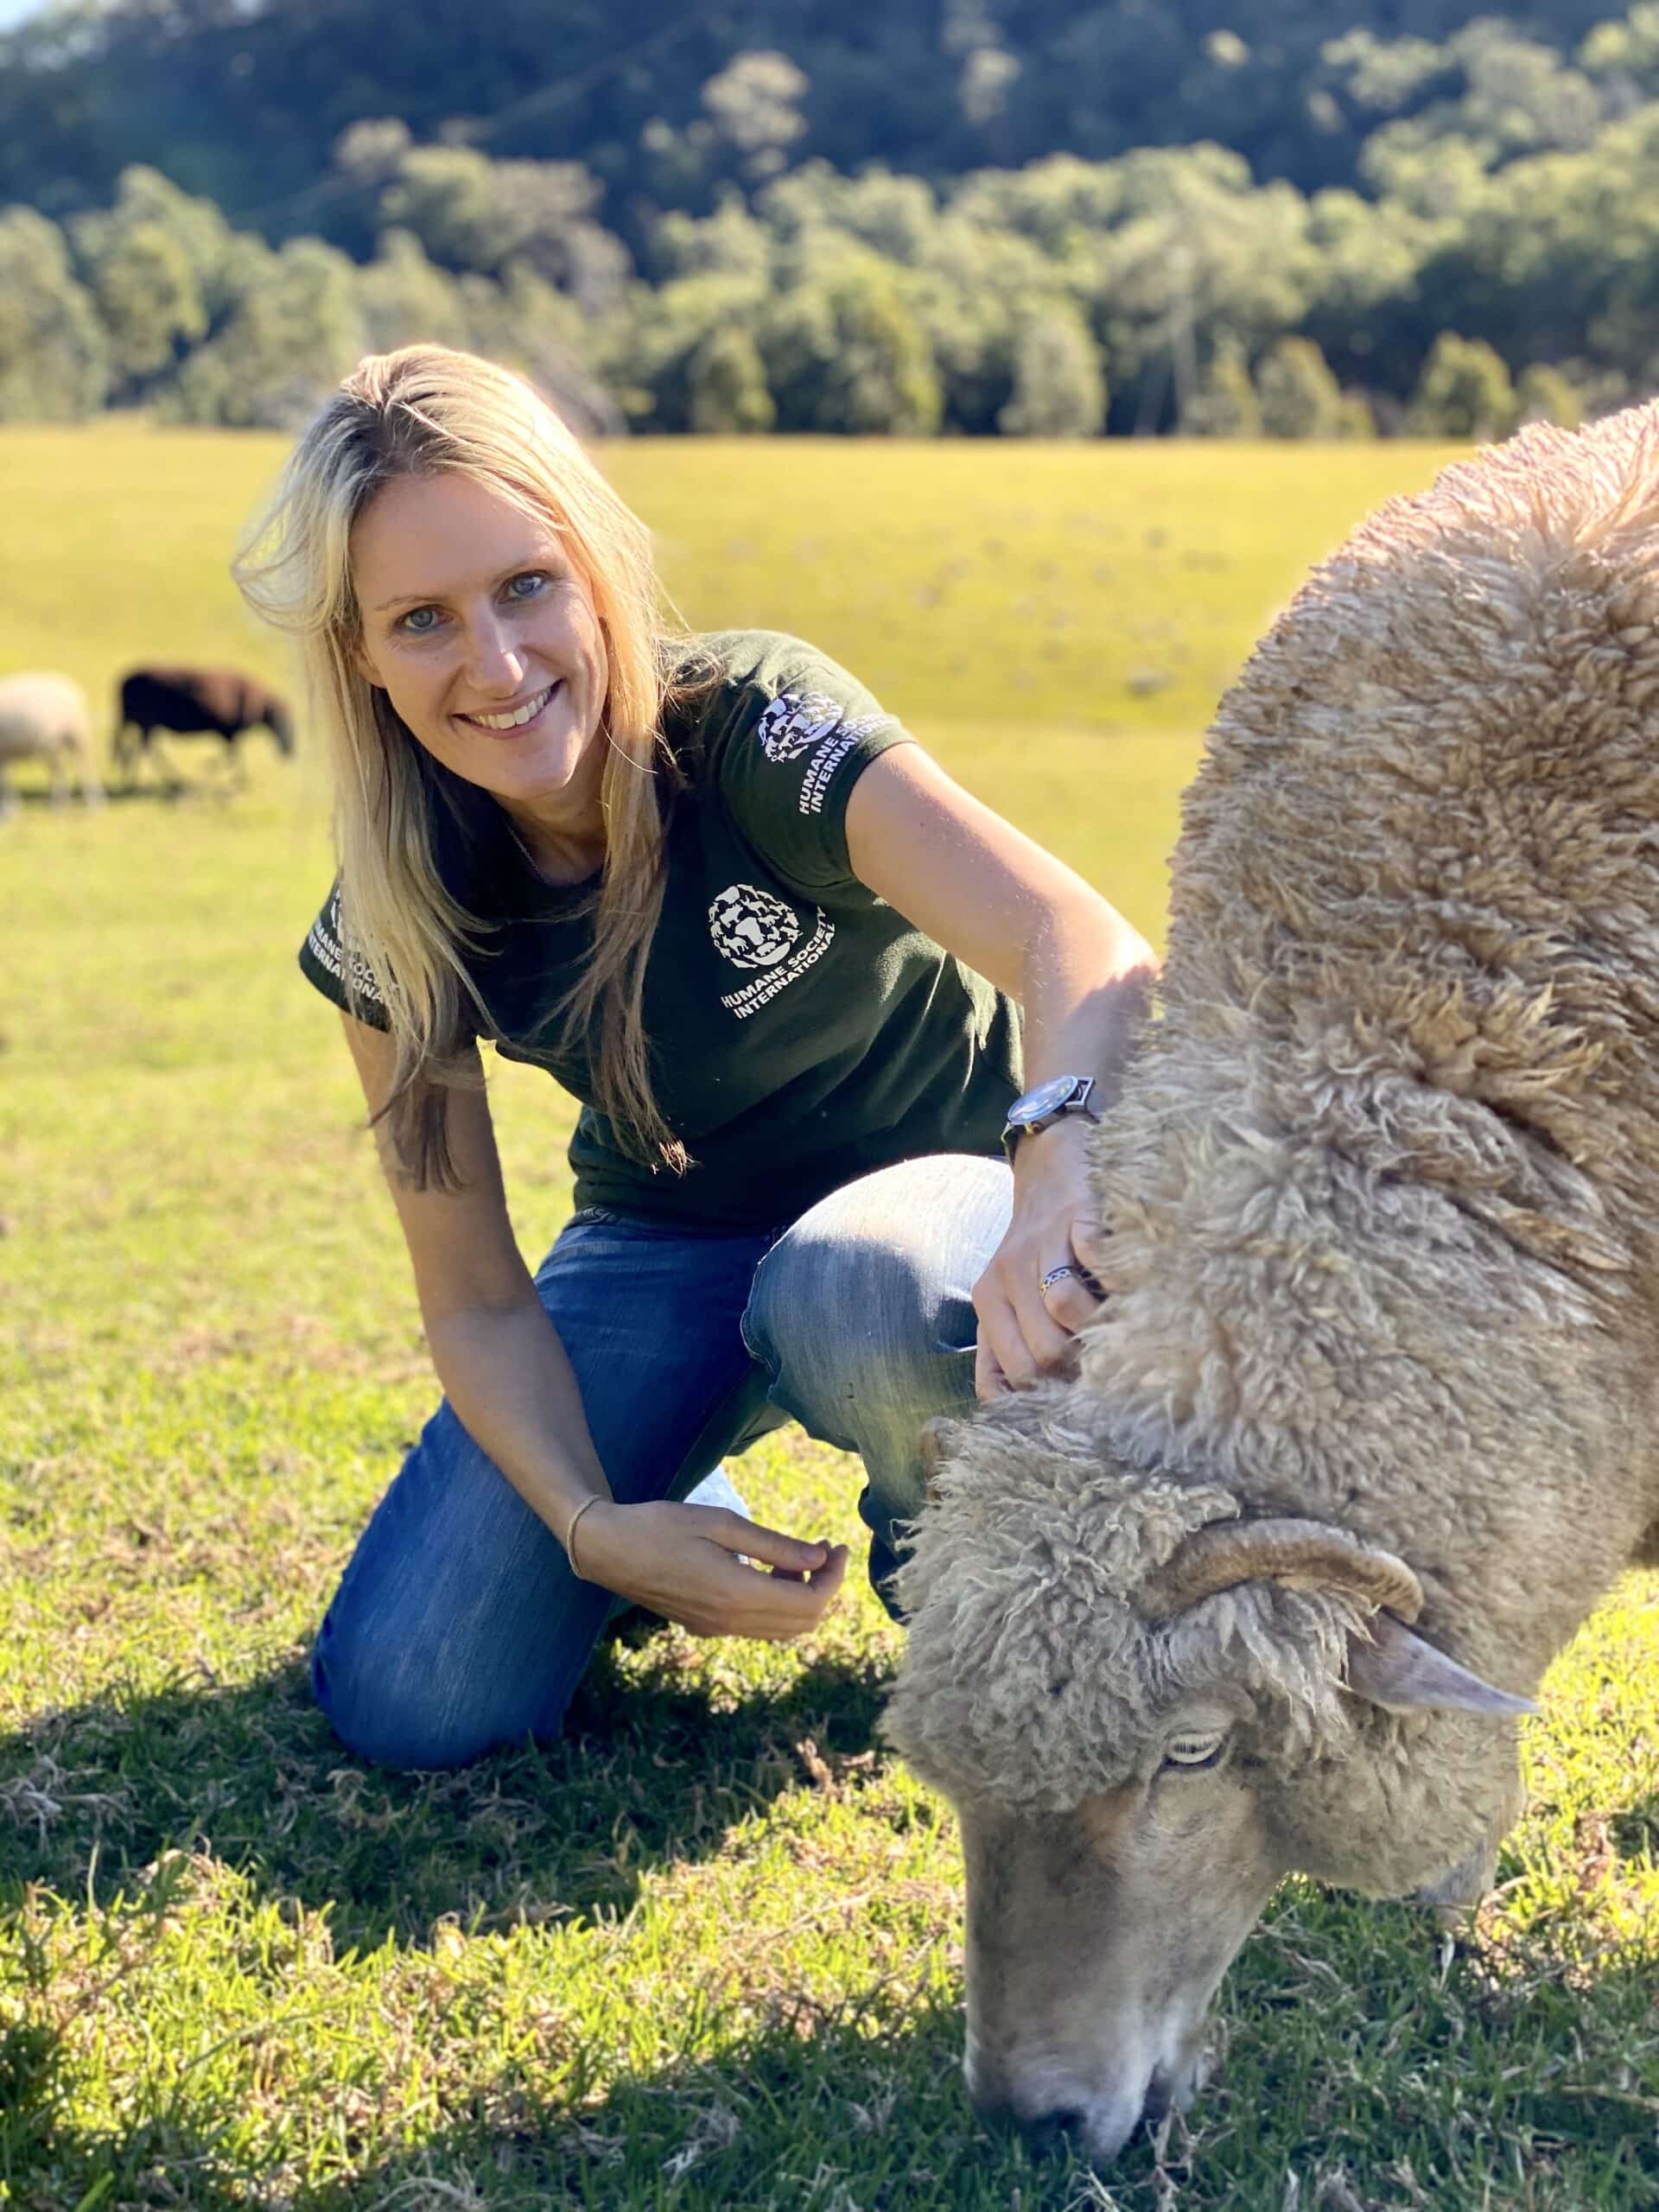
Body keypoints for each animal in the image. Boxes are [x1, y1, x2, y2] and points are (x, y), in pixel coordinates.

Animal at [0, 672, 103, 813]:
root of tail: (74, 693)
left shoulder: (4, 751)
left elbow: (5, 780)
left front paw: (9, 808)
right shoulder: (6, 753)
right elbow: (6, 778)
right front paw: (11, 806)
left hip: (68, 738)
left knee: (82, 767)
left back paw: (89, 803)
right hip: (61, 742)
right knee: (64, 769)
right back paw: (63, 802)